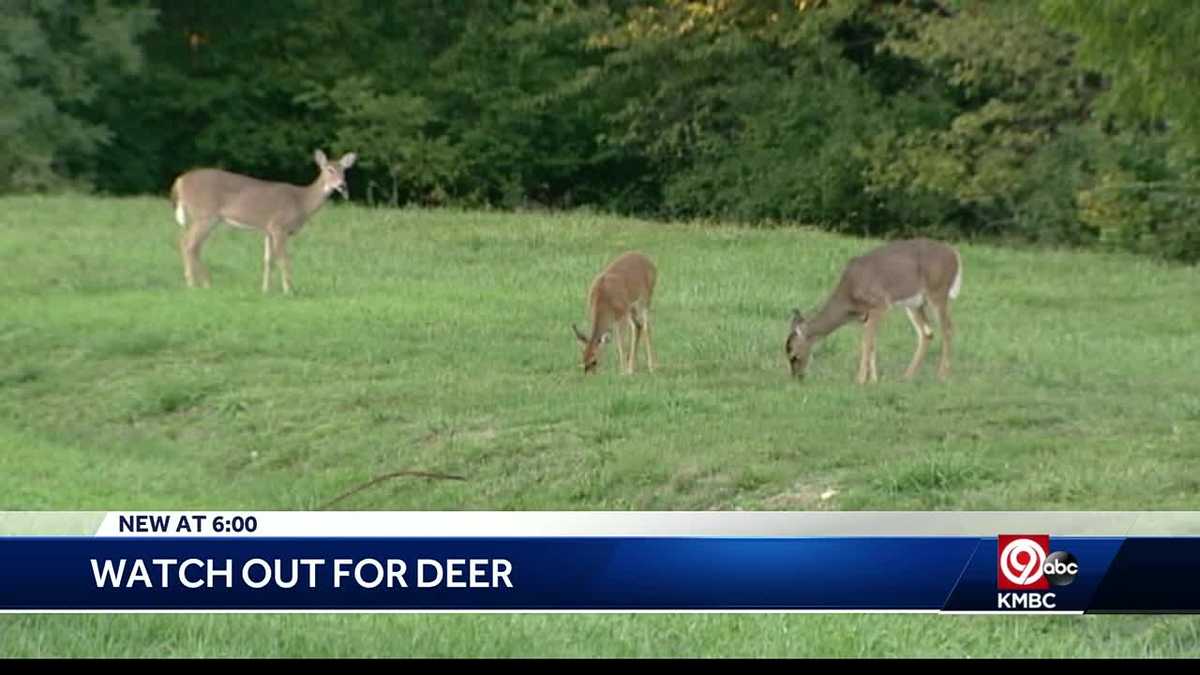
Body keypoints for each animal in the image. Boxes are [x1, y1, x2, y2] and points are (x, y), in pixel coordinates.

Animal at [169, 149, 357, 294]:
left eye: (344, 170)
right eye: (329, 169)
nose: (342, 185)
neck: (301, 202)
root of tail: (180, 181)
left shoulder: (268, 230)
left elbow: (268, 260)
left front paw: (265, 290)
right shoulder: (279, 226)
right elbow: (283, 259)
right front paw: (289, 290)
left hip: (205, 217)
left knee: (192, 245)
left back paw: (205, 283)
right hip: (205, 215)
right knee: (188, 243)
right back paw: (194, 284)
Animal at [785, 238, 962, 385]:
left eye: (794, 355)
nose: (797, 377)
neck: (849, 299)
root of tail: (955, 254)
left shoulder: (879, 304)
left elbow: (866, 342)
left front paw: (860, 380)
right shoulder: (866, 316)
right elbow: (871, 343)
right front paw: (873, 380)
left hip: (938, 291)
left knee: (947, 328)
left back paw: (942, 375)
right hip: (914, 304)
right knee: (927, 333)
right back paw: (907, 375)